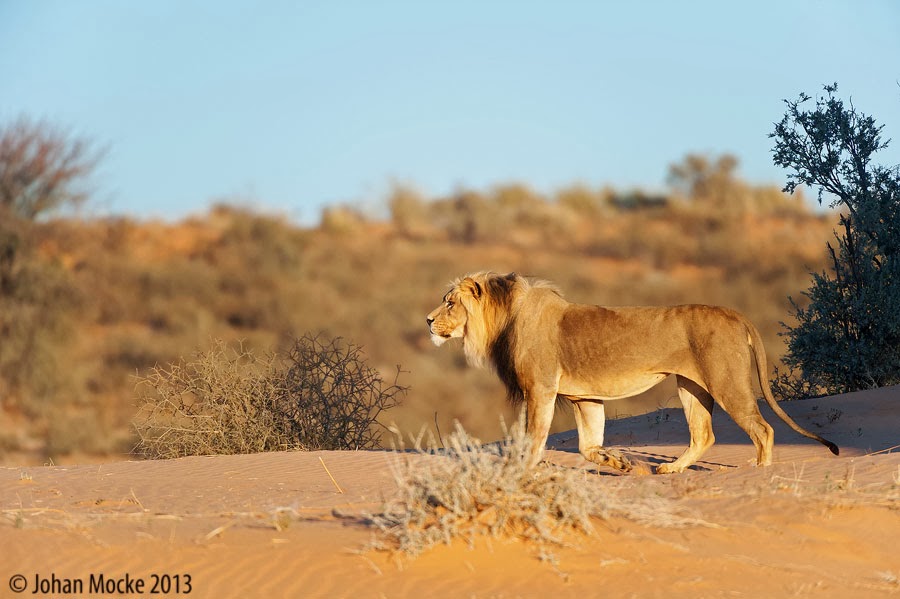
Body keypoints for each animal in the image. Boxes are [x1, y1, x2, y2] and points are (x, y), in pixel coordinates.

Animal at [426, 271, 839, 474]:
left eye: (450, 303)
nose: (428, 320)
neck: (506, 318)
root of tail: (734, 313)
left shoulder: (540, 389)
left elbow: (535, 437)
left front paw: (522, 470)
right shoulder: (585, 397)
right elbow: (588, 445)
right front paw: (619, 463)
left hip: (726, 382)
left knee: (763, 429)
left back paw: (760, 474)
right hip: (691, 387)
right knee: (703, 435)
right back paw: (670, 470)